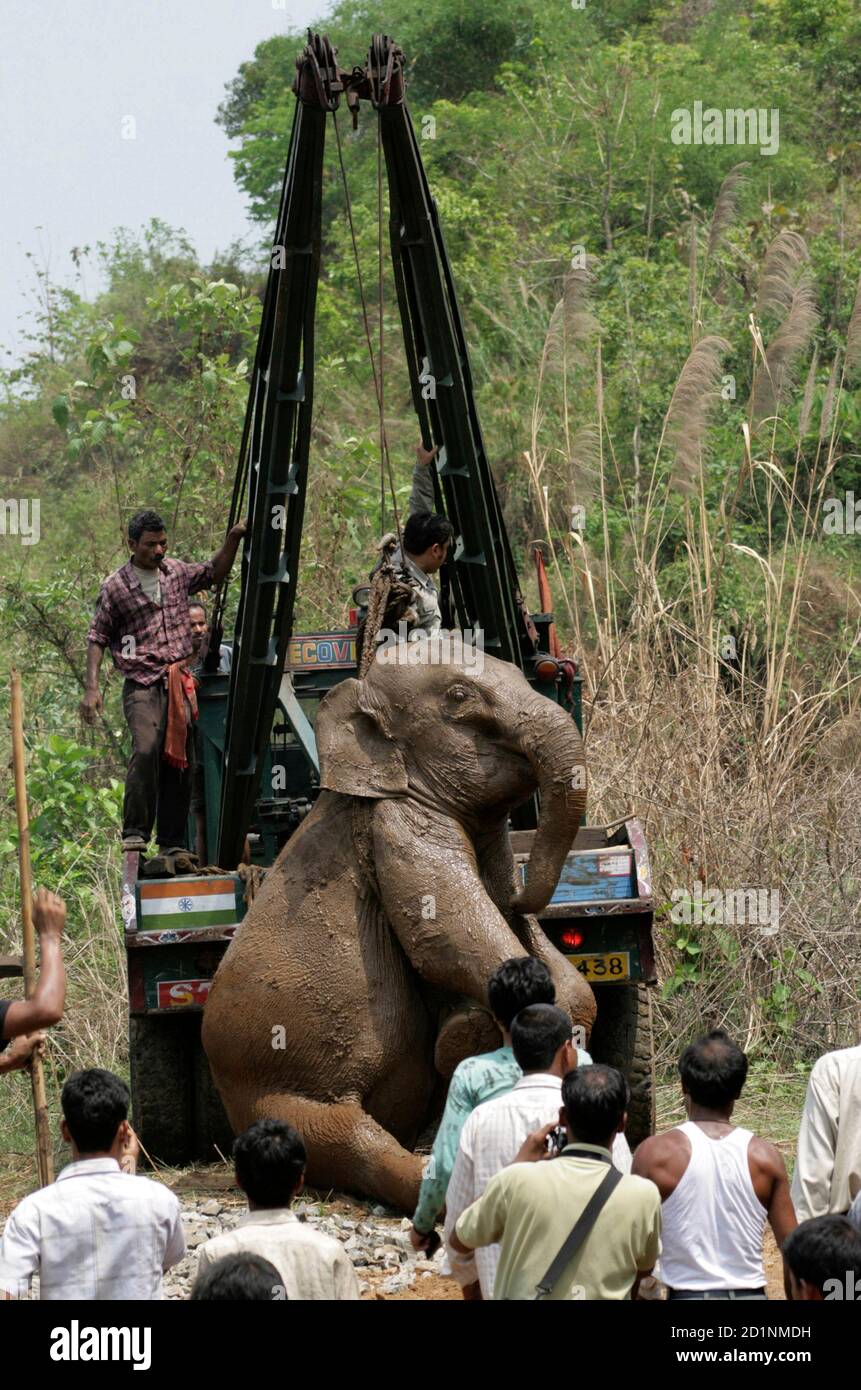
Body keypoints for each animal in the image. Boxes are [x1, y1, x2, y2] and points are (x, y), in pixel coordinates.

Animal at [202, 640, 596, 1210]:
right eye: (459, 696)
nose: (526, 893)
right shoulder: (398, 825)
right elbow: (447, 932)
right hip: (268, 1089)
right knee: (346, 1140)